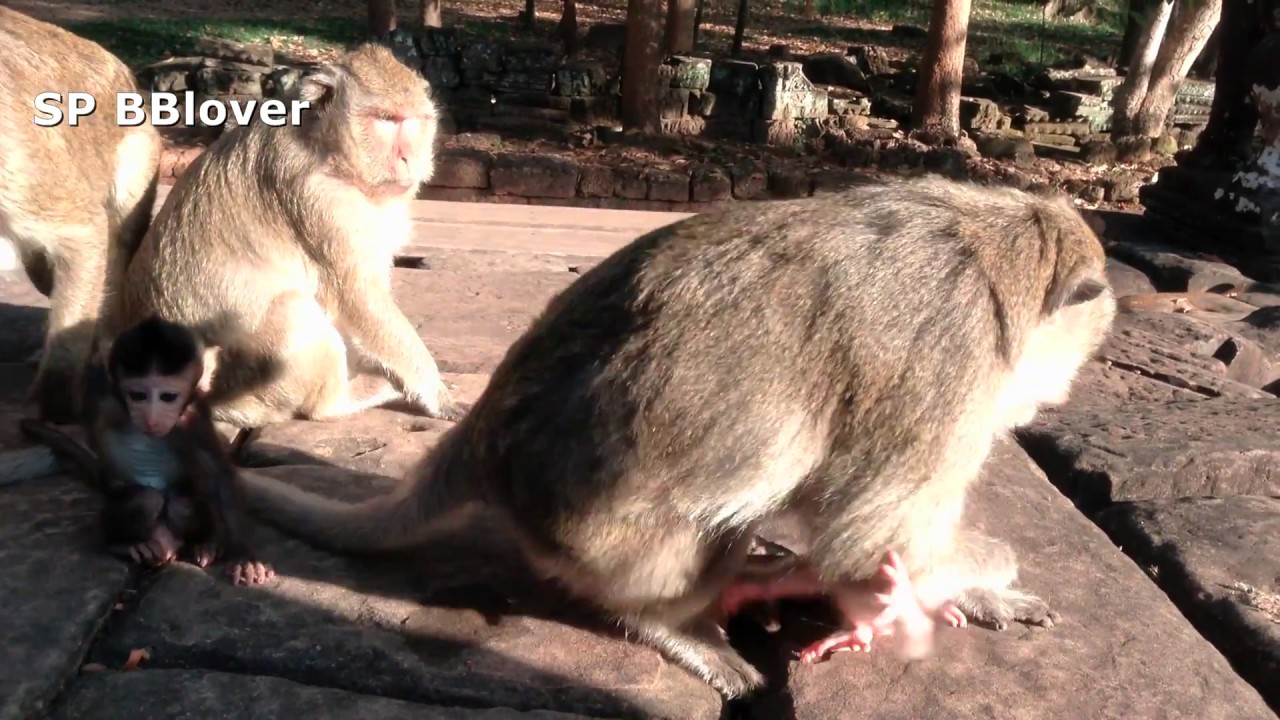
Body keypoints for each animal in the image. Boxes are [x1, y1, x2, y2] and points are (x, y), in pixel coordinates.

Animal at [17, 316, 274, 586]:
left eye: (168, 397)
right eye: (138, 395)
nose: (151, 417)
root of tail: (166, 544)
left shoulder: (192, 416)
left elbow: (216, 471)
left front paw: (244, 556)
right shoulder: (106, 401)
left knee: (182, 504)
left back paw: (205, 543)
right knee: (147, 499)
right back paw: (122, 544)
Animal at [106, 43, 462, 435]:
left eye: (411, 121)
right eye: (386, 120)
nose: (407, 158)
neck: (327, 148)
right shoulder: (321, 198)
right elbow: (361, 300)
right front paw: (438, 395)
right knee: (293, 312)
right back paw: (338, 402)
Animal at [231, 175, 1116, 698]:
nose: (1057, 392)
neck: (998, 253)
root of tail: (482, 432)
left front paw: (968, 589)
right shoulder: (951, 360)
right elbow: (870, 538)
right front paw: (980, 572)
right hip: (593, 530)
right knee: (724, 506)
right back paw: (679, 621)